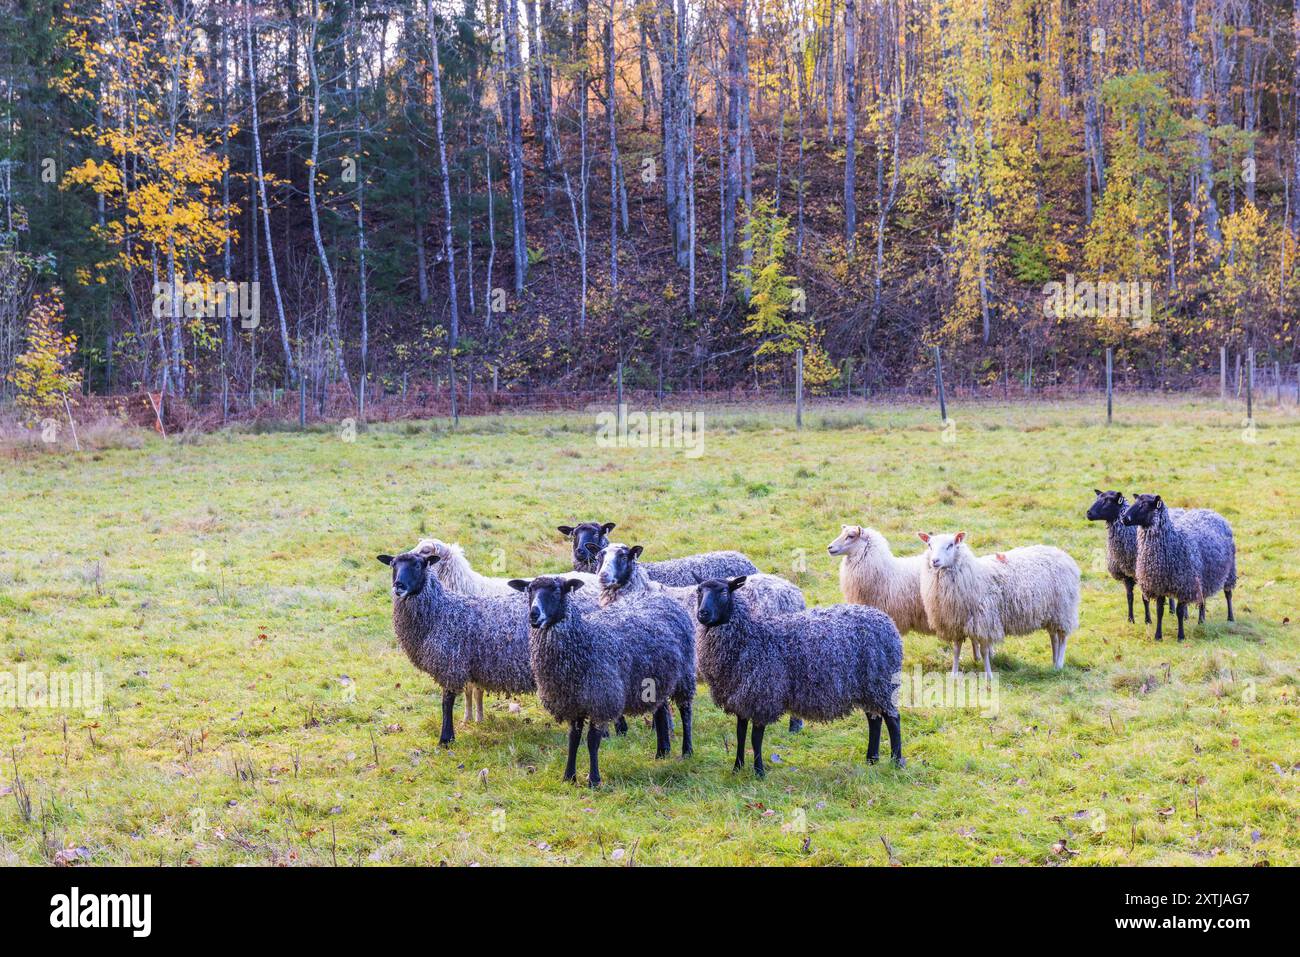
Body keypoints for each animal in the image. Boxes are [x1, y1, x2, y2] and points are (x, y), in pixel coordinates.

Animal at [508, 575, 695, 788]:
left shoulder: (601, 701)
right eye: (530, 590)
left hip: (685, 673)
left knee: (685, 710)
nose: (534, 614)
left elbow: (592, 741)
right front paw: (568, 777)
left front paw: (594, 781)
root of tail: (665, 598)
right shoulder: (573, 704)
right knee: (661, 710)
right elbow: (573, 739)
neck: (585, 642)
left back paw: (687, 751)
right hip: (659, 678)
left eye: (556, 591)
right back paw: (662, 752)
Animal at [693, 576, 904, 776]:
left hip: (882, 684)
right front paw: (737, 768)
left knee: (893, 719)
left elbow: (755, 738)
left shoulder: (763, 695)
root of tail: (886, 621)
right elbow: (740, 734)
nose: (702, 614)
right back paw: (871, 759)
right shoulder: (741, 699)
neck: (751, 637)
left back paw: (896, 762)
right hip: (868, 687)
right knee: (874, 719)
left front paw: (759, 772)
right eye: (699, 591)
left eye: (724, 592)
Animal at [917, 531, 1080, 675]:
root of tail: (1062, 553)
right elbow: (957, 650)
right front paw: (954, 674)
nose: (935, 561)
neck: (974, 576)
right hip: (1051, 612)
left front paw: (989, 675)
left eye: (951, 545)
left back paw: (1059, 664)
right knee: (1053, 637)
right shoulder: (956, 624)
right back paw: (1053, 662)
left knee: (1063, 637)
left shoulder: (985, 623)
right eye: (929, 545)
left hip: (1063, 609)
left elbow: (984, 651)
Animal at [1084, 491, 1179, 625]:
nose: (1088, 513)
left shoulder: (1141, 575)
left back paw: (1173, 611)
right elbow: (1129, 597)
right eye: (1098, 498)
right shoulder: (1126, 575)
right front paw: (1130, 620)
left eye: (1107, 501)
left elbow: (1144, 599)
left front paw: (1148, 620)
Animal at [1120, 494, 1237, 642]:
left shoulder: (1184, 586)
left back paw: (1230, 618)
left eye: (1144, 505)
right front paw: (1158, 636)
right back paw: (1201, 622)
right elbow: (1159, 611)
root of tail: (1212, 512)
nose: (1124, 518)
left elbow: (1180, 612)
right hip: (1203, 578)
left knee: (1228, 594)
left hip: (1230, 571)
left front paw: (1180, 636)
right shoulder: (1159, 586)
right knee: (1202, 599)